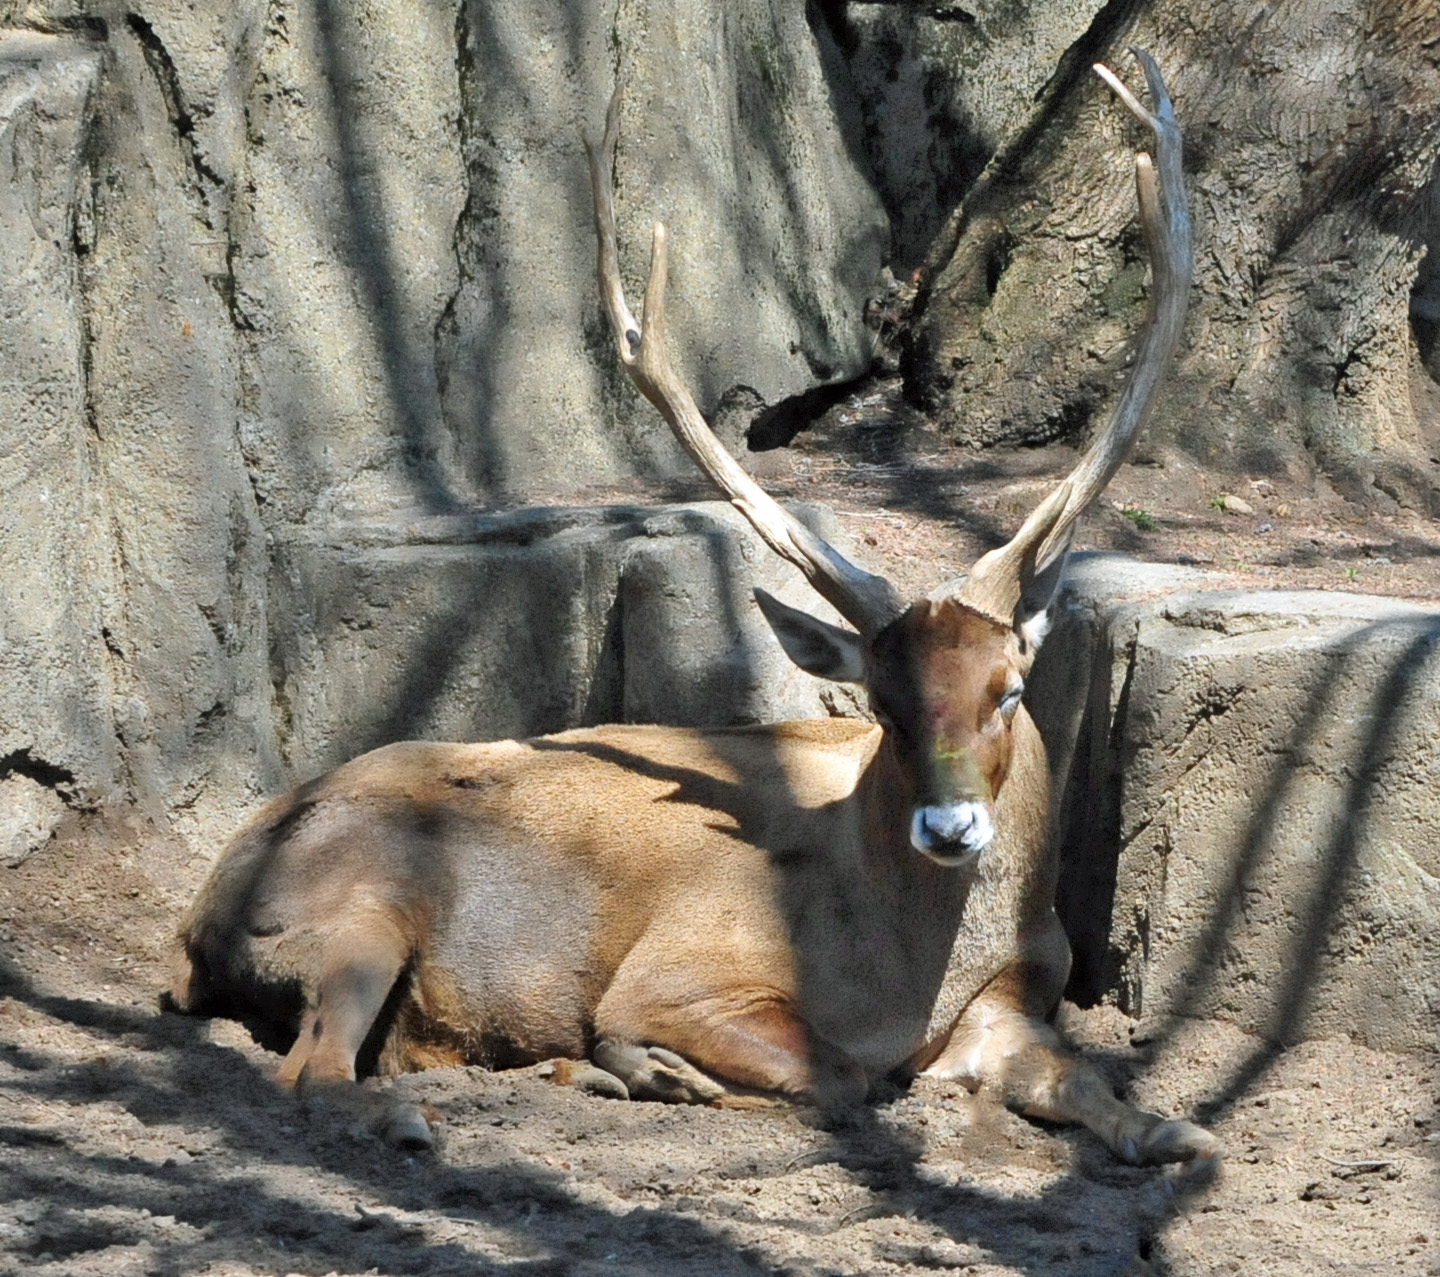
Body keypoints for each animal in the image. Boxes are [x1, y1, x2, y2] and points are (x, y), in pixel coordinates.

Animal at [168, 51, 1216, 1172]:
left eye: (1010, 688)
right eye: (882, 704)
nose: (949, 824)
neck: (907, 975)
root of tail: (203, 908)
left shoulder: (1015, 1000)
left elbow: (1093, 1082)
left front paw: (1178, 1128)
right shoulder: (679, 968)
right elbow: (838, 1075)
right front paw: (643, 1063)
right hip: (356, 907)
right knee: (310, 1067)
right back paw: (438, 1106)